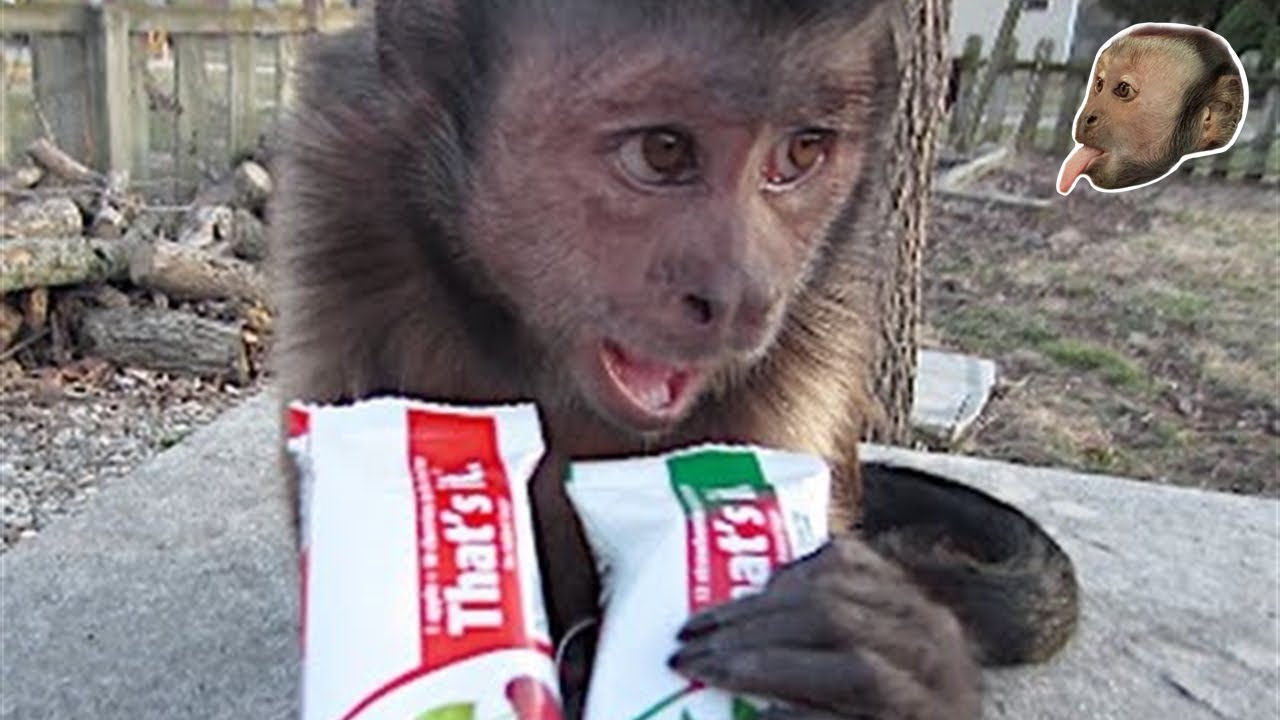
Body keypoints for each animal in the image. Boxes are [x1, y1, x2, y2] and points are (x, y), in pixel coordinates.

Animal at [270, 2, 1080, 718]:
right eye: (662, 151)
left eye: (800, 154)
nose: (744, 295)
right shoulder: (345, 202)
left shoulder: (826, 302)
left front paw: (894, 670)